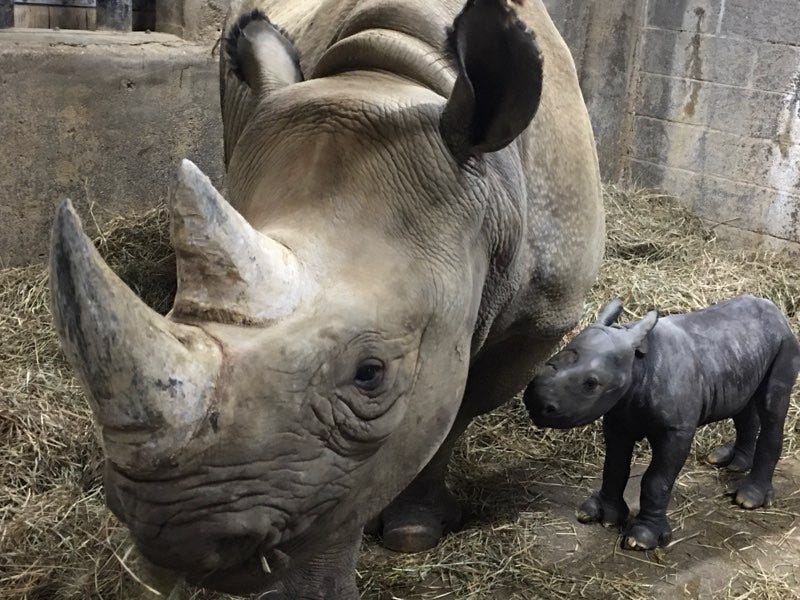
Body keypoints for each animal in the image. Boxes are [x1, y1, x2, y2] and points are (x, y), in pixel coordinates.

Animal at [49, 0, 604, 597]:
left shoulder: (541, 319)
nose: (175, 537)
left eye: (371, 374)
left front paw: (413, 533)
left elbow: (450, 416)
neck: (389, 80)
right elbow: (335, 503)